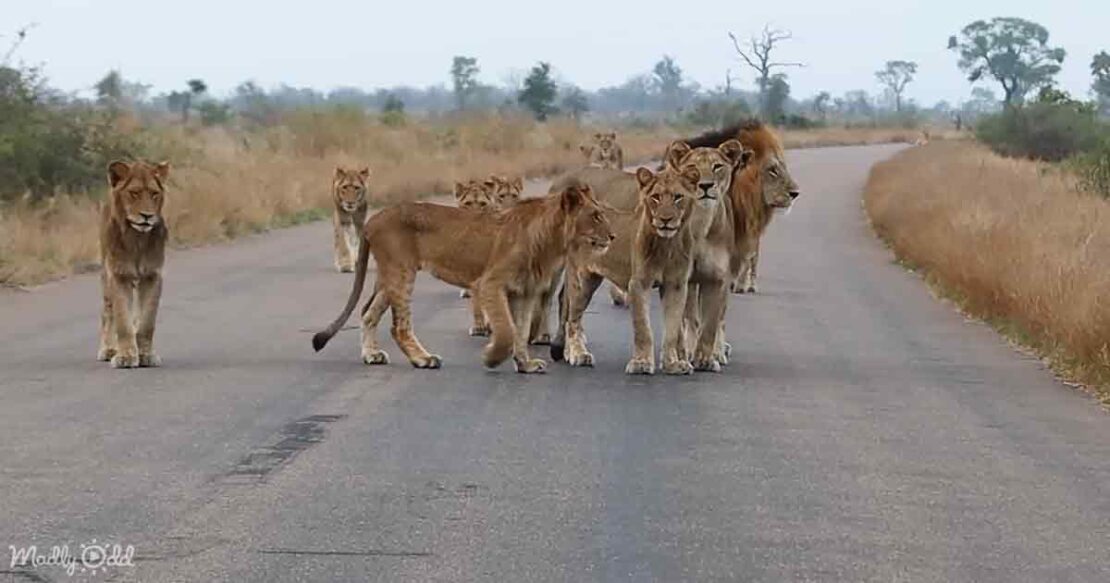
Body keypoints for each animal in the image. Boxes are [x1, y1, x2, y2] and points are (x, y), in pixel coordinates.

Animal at [96, 160, 170, 369]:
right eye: (134, 193)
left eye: (154, 193)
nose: (147, 216)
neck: (137, 238)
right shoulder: (119, 275)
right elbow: (122, 320)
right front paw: (126, 356)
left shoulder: (153, 276)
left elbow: (146, 322)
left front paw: (145, 354)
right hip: (106, 277)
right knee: (108, 313)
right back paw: (108, 349)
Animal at [311, 183, 613, 373]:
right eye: (596, 216)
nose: (613, 236)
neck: (554, 240)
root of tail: (373, 220)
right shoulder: (490, 283)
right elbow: (506, 330)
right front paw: (491, 358)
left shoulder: (525, 292)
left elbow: (521, 330)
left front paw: (525, 365)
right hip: (401, 272)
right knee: (399, 327)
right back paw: (423, 359)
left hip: (389, 276)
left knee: (367, 312)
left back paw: (372, 355)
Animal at [557, 164, 703, 375]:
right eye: (656, 197)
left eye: (678, 197)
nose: (665, 219)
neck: (667, 244)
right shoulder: (639, 283)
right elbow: (643, 328)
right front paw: (641, 363)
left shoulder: (676, 285)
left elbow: (673, 328)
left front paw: (673, 364)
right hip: (582, 281)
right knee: (572, 319)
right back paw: (578, 354)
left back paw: (570, 352)